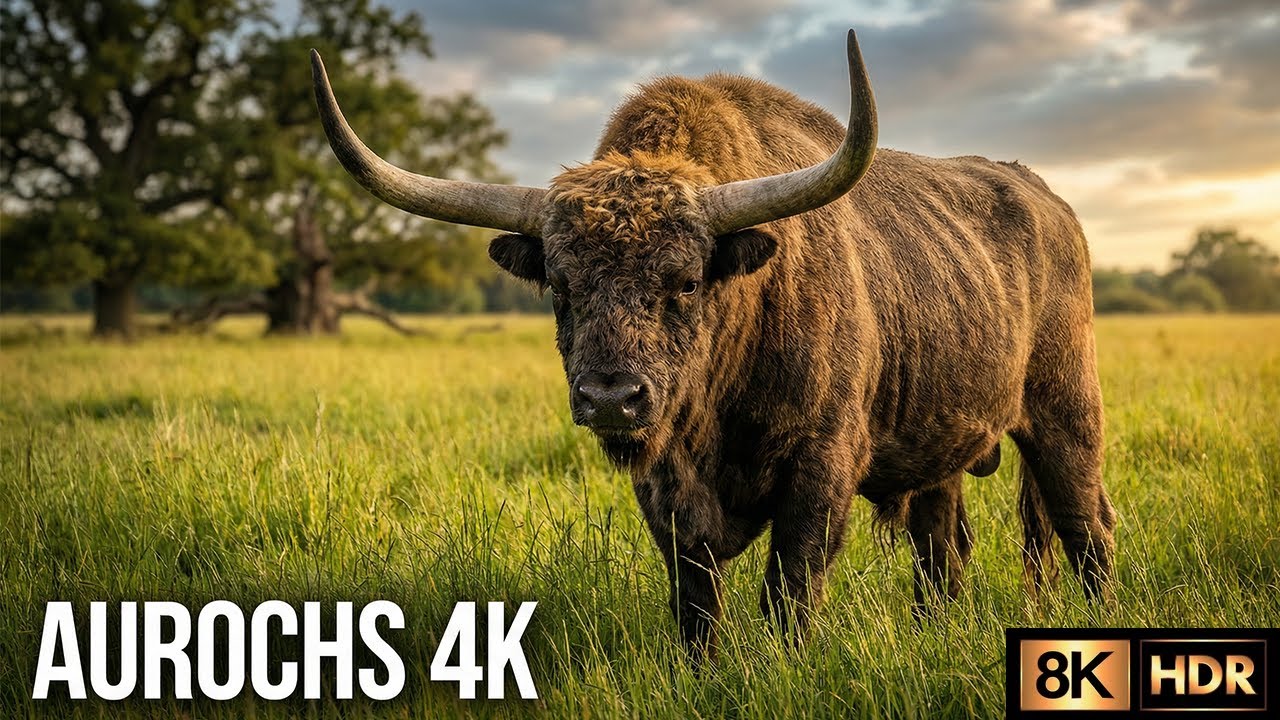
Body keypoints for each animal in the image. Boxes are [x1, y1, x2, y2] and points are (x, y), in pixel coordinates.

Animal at [310, 30, 1116, 660]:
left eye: (688, 280)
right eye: (562, 285)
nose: (612, 398)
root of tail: (1048, 201)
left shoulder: (821, 471)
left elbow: (789, 593)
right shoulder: (666, 492)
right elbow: (696, 601)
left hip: (1065, 418)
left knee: (1087, 528)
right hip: (941, 455)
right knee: (942, 552)